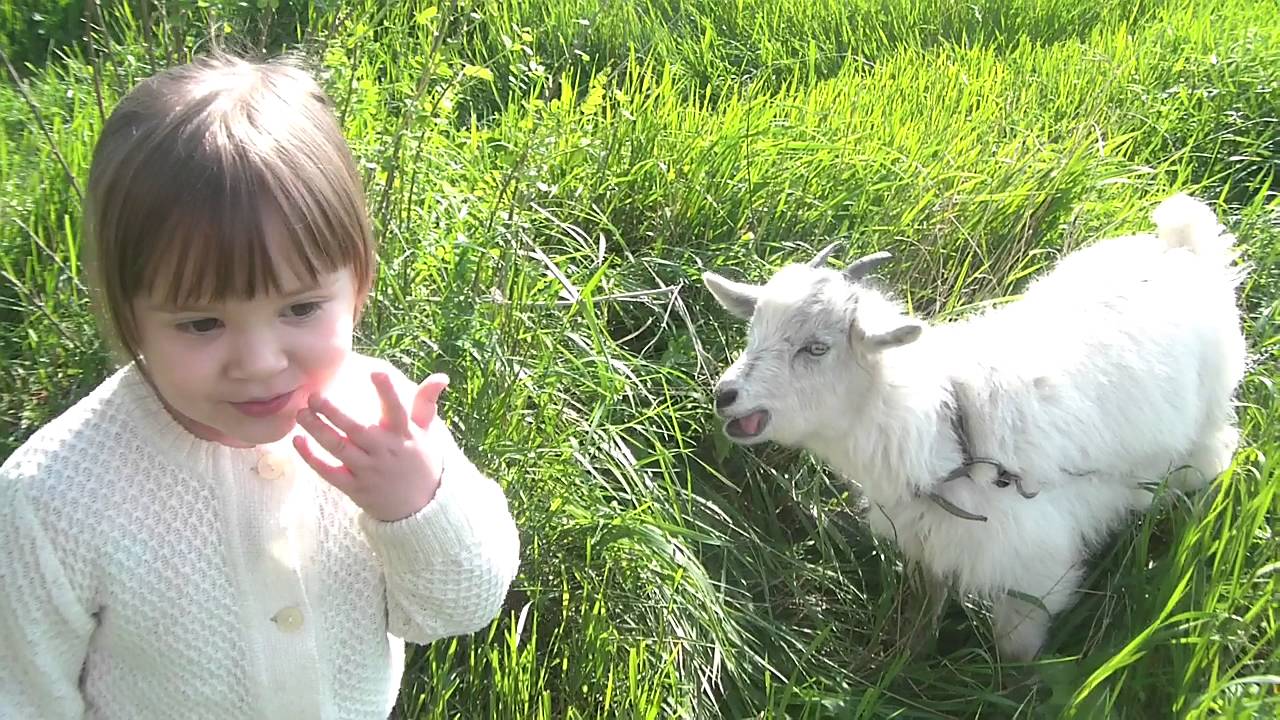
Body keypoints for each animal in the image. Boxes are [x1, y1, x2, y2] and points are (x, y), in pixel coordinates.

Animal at [702, 194, 1247, 661]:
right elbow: (925, 608)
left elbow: (1016, 652)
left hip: (1201, 427)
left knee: (1214, 458)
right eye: (753, 332)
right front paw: (906, 659)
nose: (725, 395)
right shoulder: (930, 543)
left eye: (816, 348)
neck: (948, 430)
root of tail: (1183, 246)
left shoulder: (1033, 568)